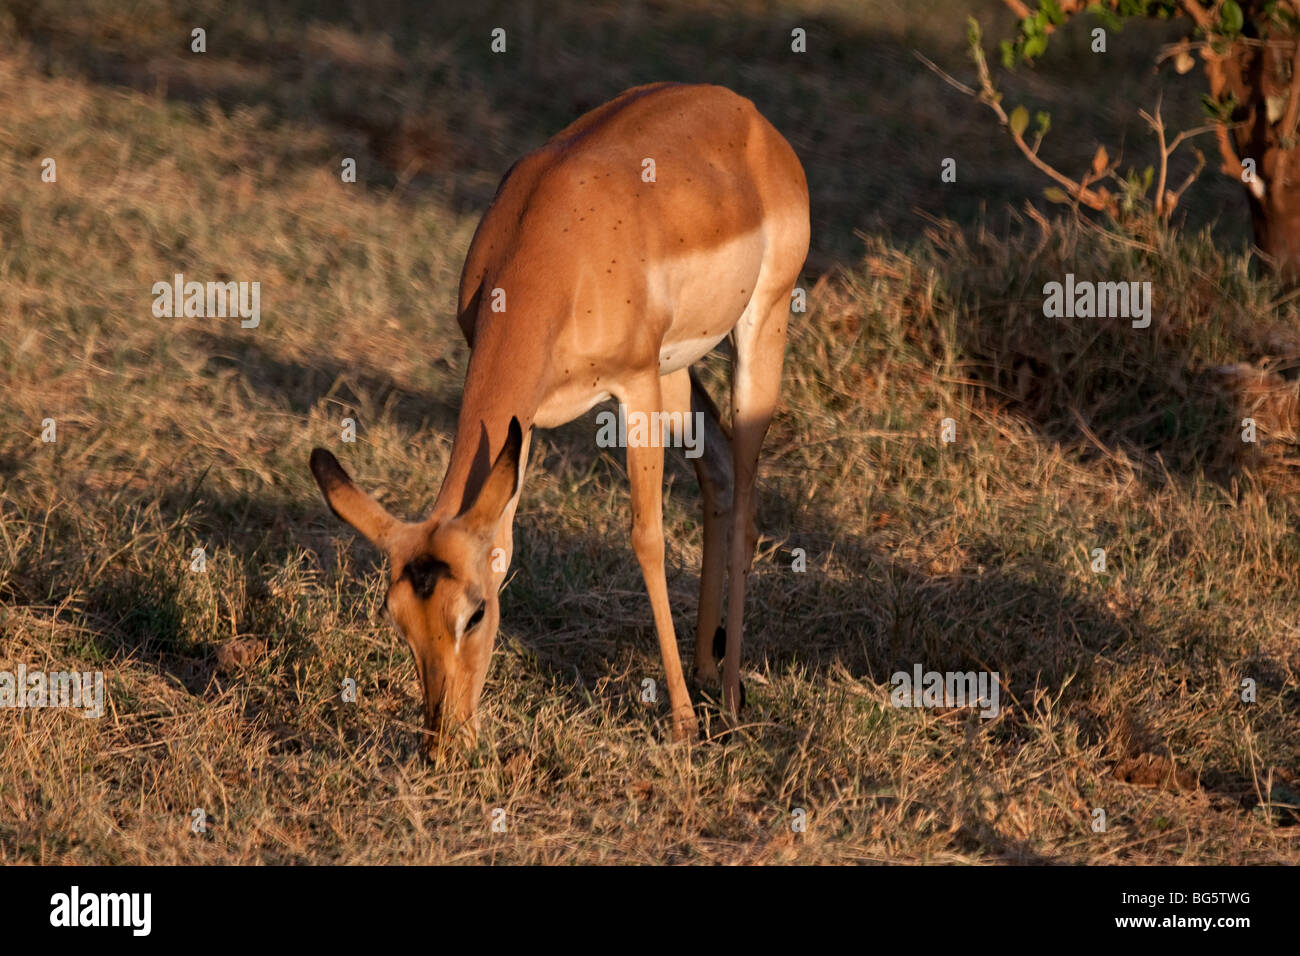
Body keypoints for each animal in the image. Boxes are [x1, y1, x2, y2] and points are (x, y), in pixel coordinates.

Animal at [309, 82, 809, 751]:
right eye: (397, 618)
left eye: (474, 613)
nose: (444, 741)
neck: (553, 248)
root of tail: (748, 114)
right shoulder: (521, 428)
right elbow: (505, 541)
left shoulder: (633, 387)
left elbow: (647, 537)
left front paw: (680, 724)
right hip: (678, 371)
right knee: (722, 474)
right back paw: (707, 671)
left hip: (756, 330)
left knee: (748, 495)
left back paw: (727, 701)